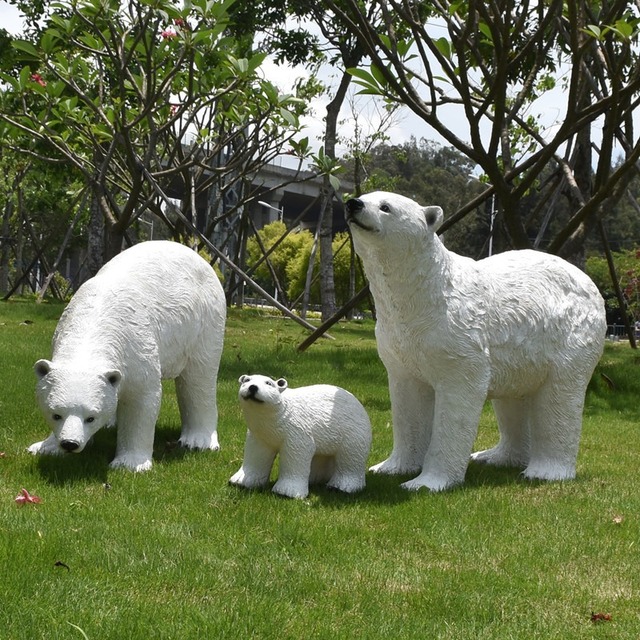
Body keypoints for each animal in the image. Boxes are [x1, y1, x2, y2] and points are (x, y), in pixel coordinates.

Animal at [29, 240, 226, 472]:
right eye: (56, 414)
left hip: (205, 320)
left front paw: (130, 464)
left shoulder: (136, 345)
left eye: (90, 418)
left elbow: (141, 399)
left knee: (199, 377)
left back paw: (197, 441)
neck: (95, 322)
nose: (70, 444)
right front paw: (45, 447)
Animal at [230, 374, 372, 499]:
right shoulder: (260, 433)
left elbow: (297, 452)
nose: (252, 387)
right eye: (247, 380)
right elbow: (256, 453)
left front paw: (286, 491)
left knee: (351, 457)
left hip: (354, 432)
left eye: (268, 383)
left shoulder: (296, 427)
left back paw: (340, 486)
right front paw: (240, 481)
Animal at [345, 191, 606, 492]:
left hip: (572, 335)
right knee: (514, 395)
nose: (353, 204)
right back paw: (493, 456)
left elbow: (459, 397)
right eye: (365, 196)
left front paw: (427, 482)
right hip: (519, 344)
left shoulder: (459, 334)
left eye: (386, 207)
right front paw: (390, 468)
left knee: (559, 396)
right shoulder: (397, 338)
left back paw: (545, 471)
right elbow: (407, 400)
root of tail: (589, 282)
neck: (425, 292)